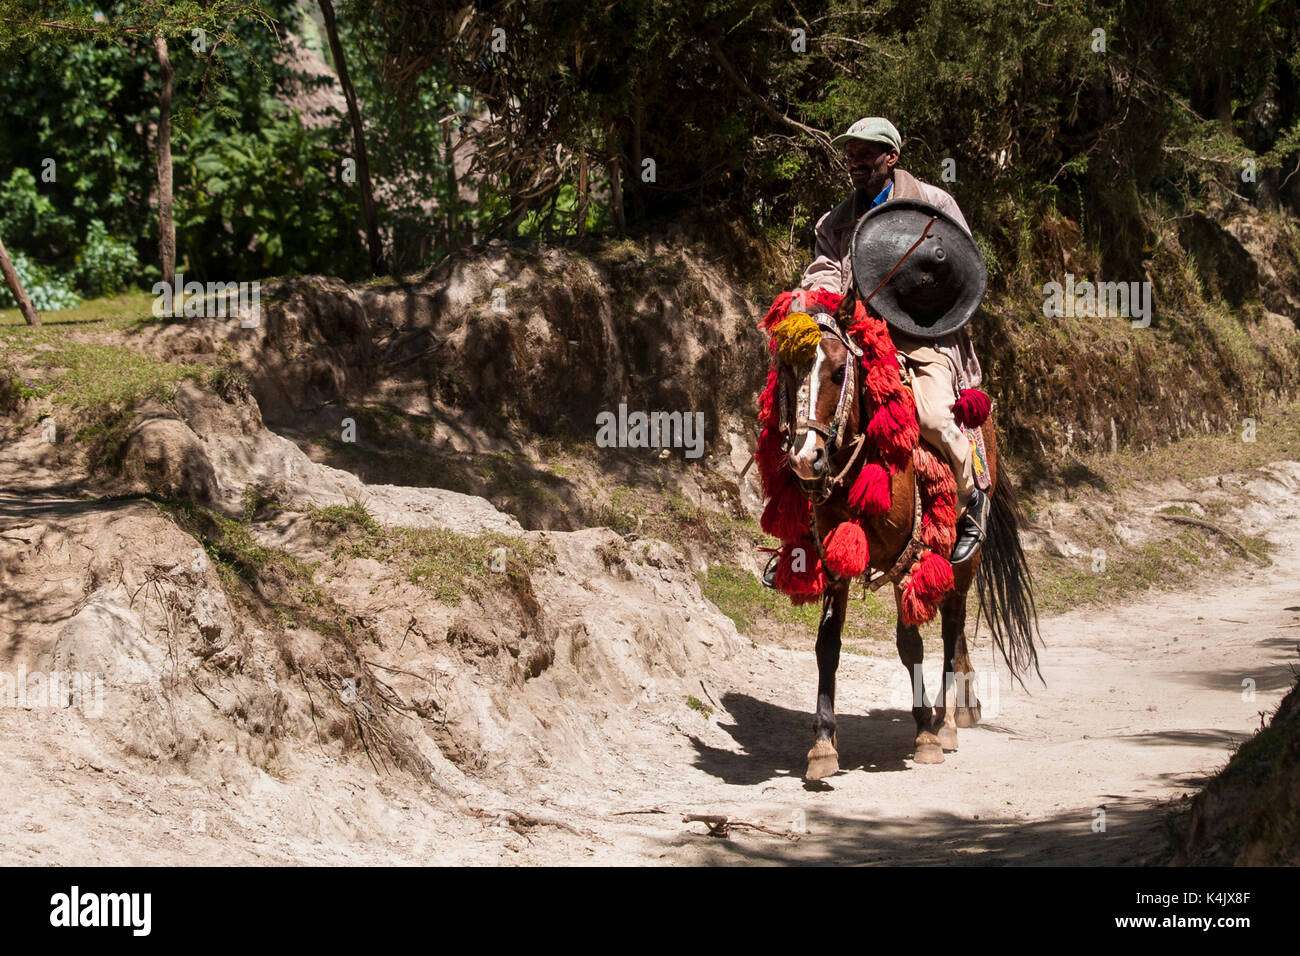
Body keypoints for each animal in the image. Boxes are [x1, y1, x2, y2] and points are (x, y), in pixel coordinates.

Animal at [758, 290, 1041, 780]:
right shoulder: (835, 560)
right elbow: (827, 646)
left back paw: (947, 722)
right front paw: (823, 744)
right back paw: (964, 707)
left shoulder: (905, 558)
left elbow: (910, 644)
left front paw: (925, 732)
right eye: (789, 373)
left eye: (838, 371)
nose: (806, 460)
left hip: (964, 558)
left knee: (951, 627)